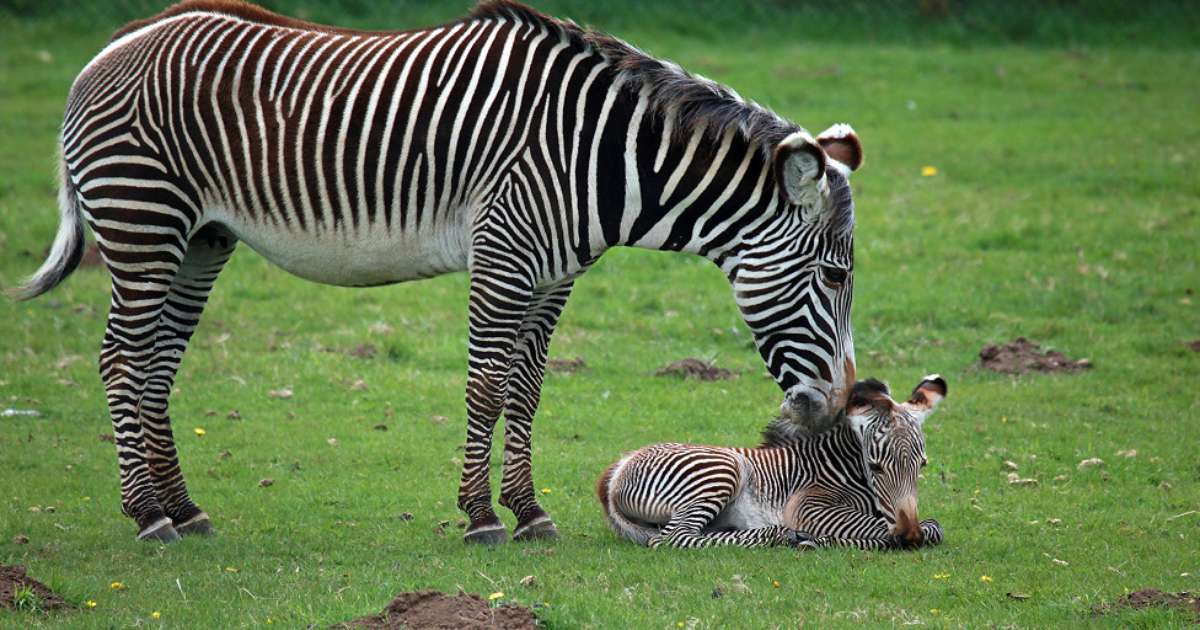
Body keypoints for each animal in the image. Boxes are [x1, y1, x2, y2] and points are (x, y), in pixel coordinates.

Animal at [12, 0, 865, 545]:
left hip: (200, 239)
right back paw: (147, 516)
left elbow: (527, 390)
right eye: (831, 278)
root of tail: (119, 41)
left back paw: (184, 509)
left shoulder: (555, 274)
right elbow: (486, 385)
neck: (608, 159)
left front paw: (529, 512)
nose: (836, 408)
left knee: (156, 363)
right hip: (142, 219)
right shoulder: (505, 251)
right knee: (122, 359)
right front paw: (481, 517)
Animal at [596, 376, 947, 550]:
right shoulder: (809, 507)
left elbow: (933, 527)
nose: (909, 536)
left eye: (922, 466)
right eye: (875, 467)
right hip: (723, 469)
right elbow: (918, 526)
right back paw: (782, 535)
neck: (841, 467)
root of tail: (619, 468)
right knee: (673, 537)